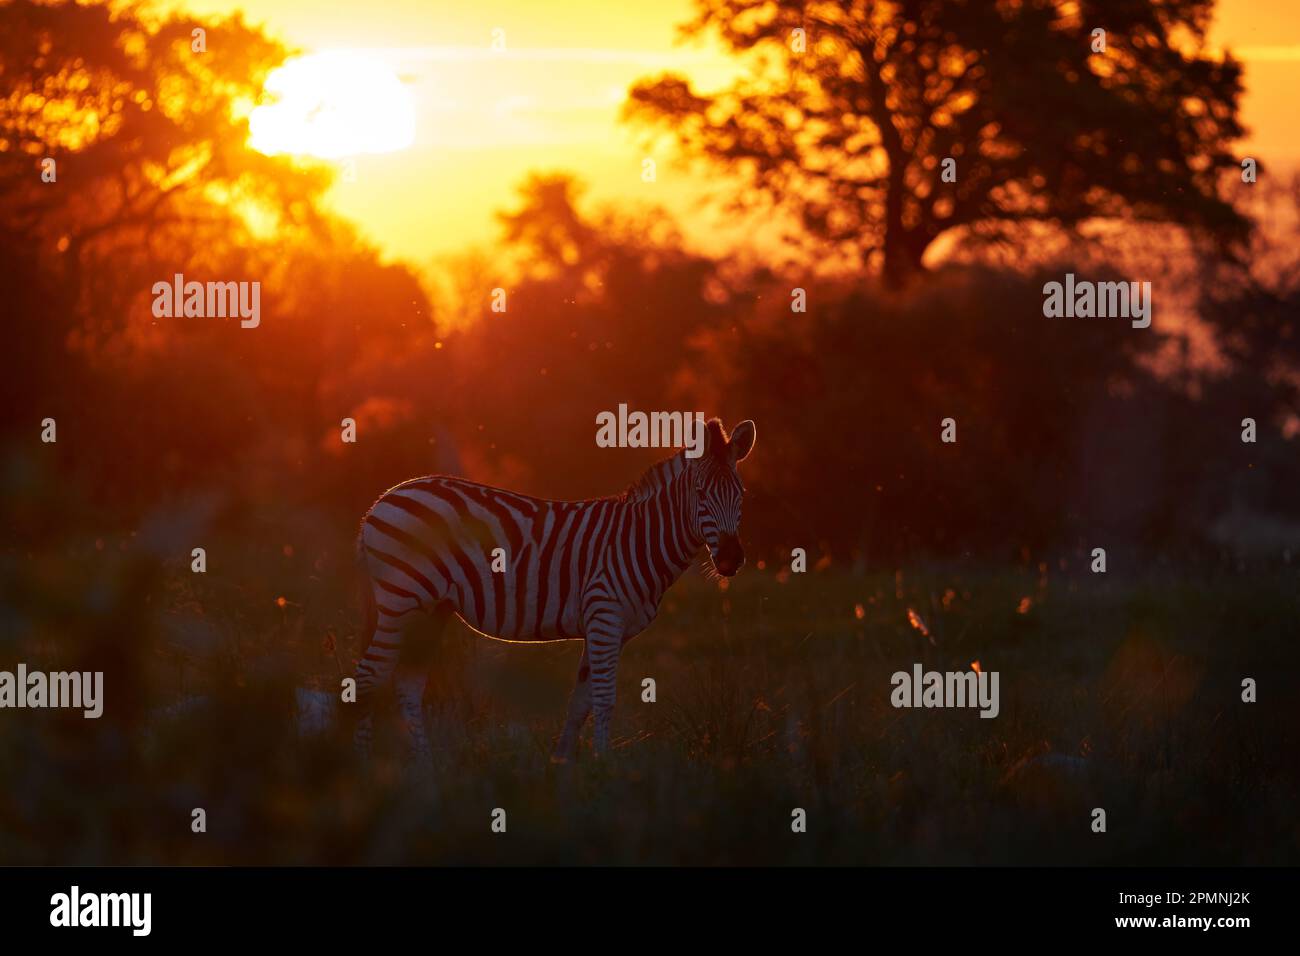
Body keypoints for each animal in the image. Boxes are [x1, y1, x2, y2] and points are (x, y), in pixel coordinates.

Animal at [352, 418, 756, 765]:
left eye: (741, 493)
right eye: (700, 494)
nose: (731, 560)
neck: (641, 538)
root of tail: (380, 501)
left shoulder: (606, 626)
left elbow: (581, 702)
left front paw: (564, 767)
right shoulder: (605, 614)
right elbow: (604, 698)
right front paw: (604, 768)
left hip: (430, 611)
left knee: (406, 685)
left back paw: (427, 771)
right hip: (400, 601)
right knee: (367, 678)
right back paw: (366, 768)